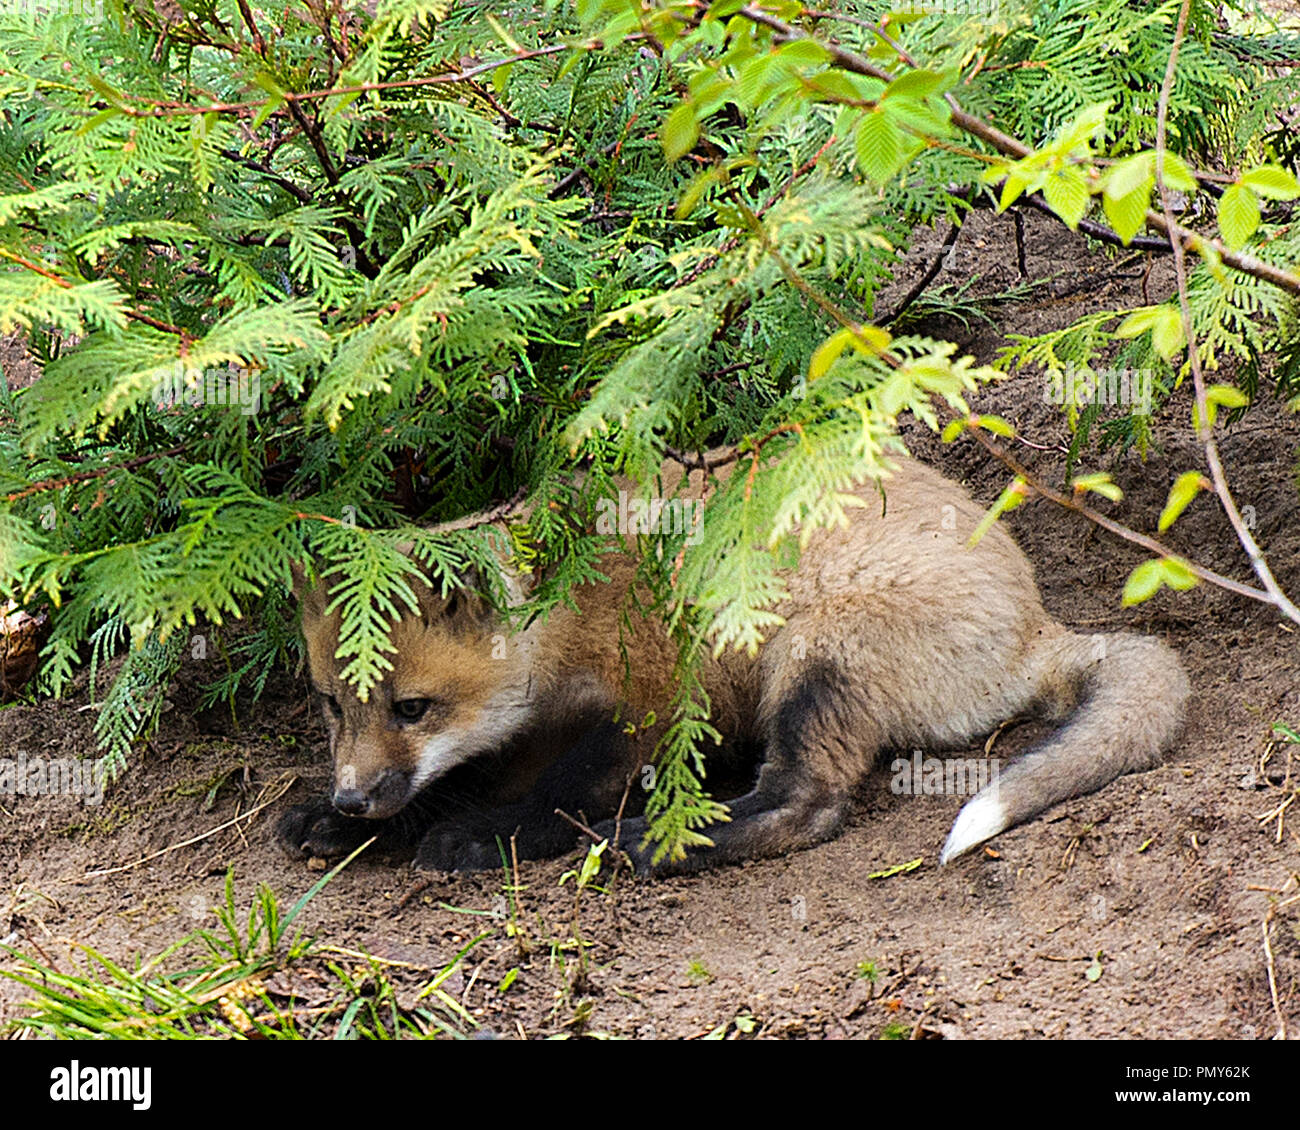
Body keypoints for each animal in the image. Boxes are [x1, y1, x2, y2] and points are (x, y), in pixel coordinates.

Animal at [277, 449, 1190, 875]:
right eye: (332, 705)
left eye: (411, 707)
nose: (352, 799)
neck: (567, 613)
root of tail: (1036, 623)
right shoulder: (538, 721)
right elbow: (469, 773)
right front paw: (349, 823)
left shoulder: (653, 698)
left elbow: (562, 794)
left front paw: (481, 834)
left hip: (812, 652)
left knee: (810, 805)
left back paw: (659, 842)